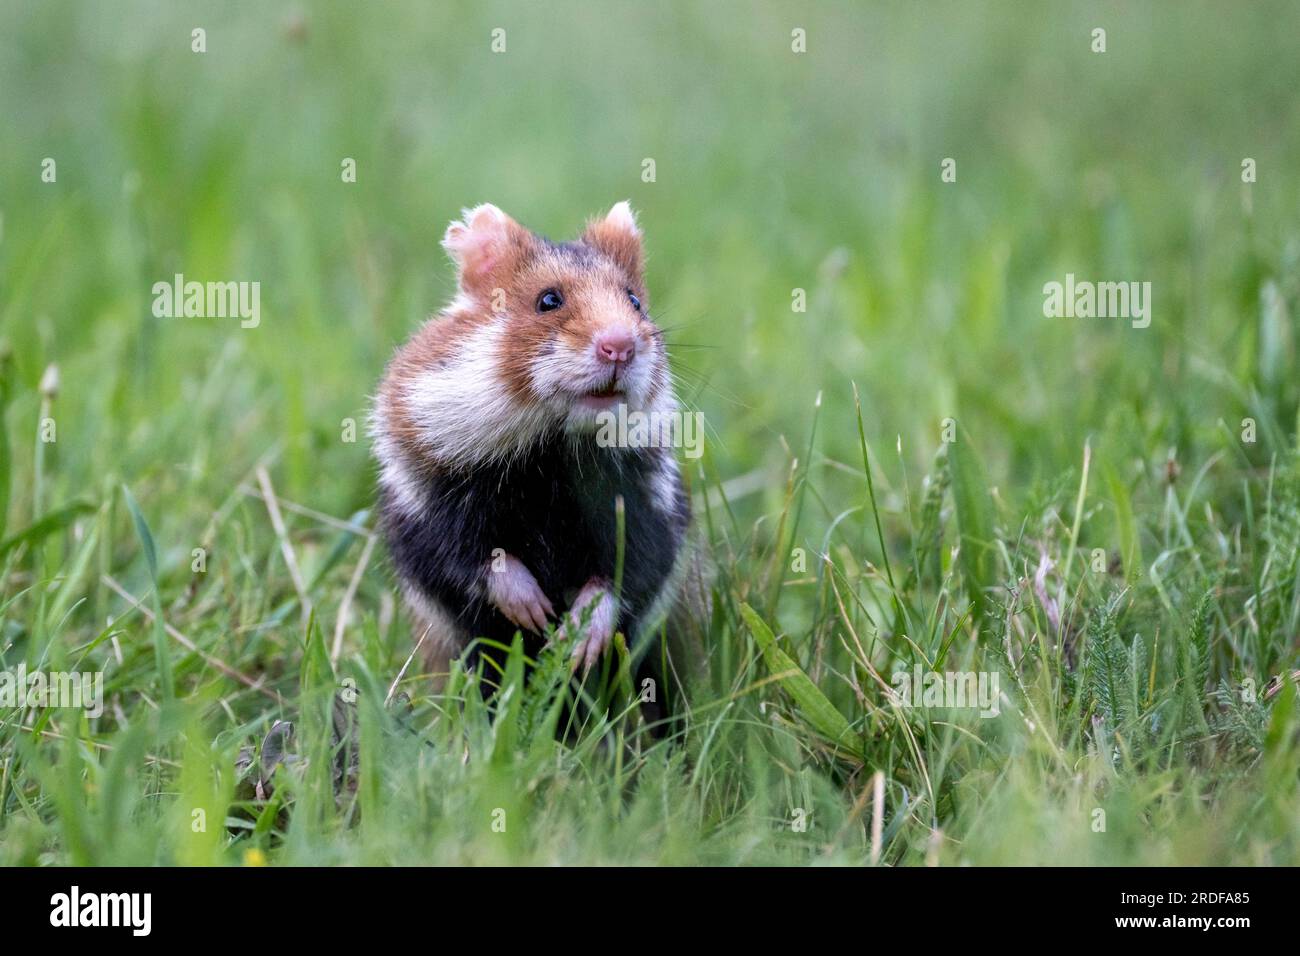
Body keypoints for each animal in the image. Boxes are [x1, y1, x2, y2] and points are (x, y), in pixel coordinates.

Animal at [372, 202, 702, 704]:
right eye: (548, 301)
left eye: (635, 301)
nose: (621, 346)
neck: (555, 449)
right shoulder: (428, 503)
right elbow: (477, 557)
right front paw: (537, 613)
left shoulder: (649, 505)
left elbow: (623, 575)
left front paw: (573, 640)